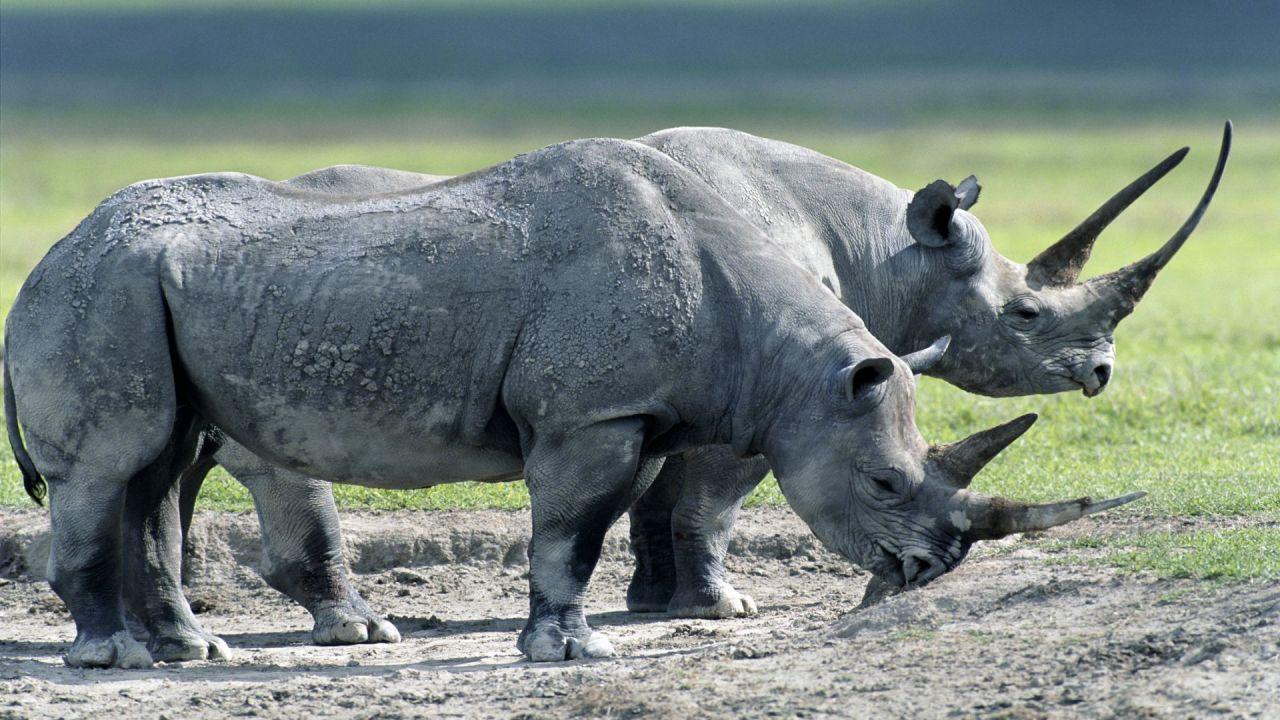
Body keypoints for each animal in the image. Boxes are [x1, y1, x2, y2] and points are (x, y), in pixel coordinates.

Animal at [3, 136, 1145, 668]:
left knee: (158, 466)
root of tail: (50, 249)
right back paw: (112, 657)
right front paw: (570, 650)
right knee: (114, 463)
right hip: (100, 288)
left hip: (149, 288)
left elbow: (606, 524)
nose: (931, 567)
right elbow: (570, 531)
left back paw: (189, 651)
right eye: (883, 484)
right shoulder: (590, 416)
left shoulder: (640, 411)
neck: (784, 360)